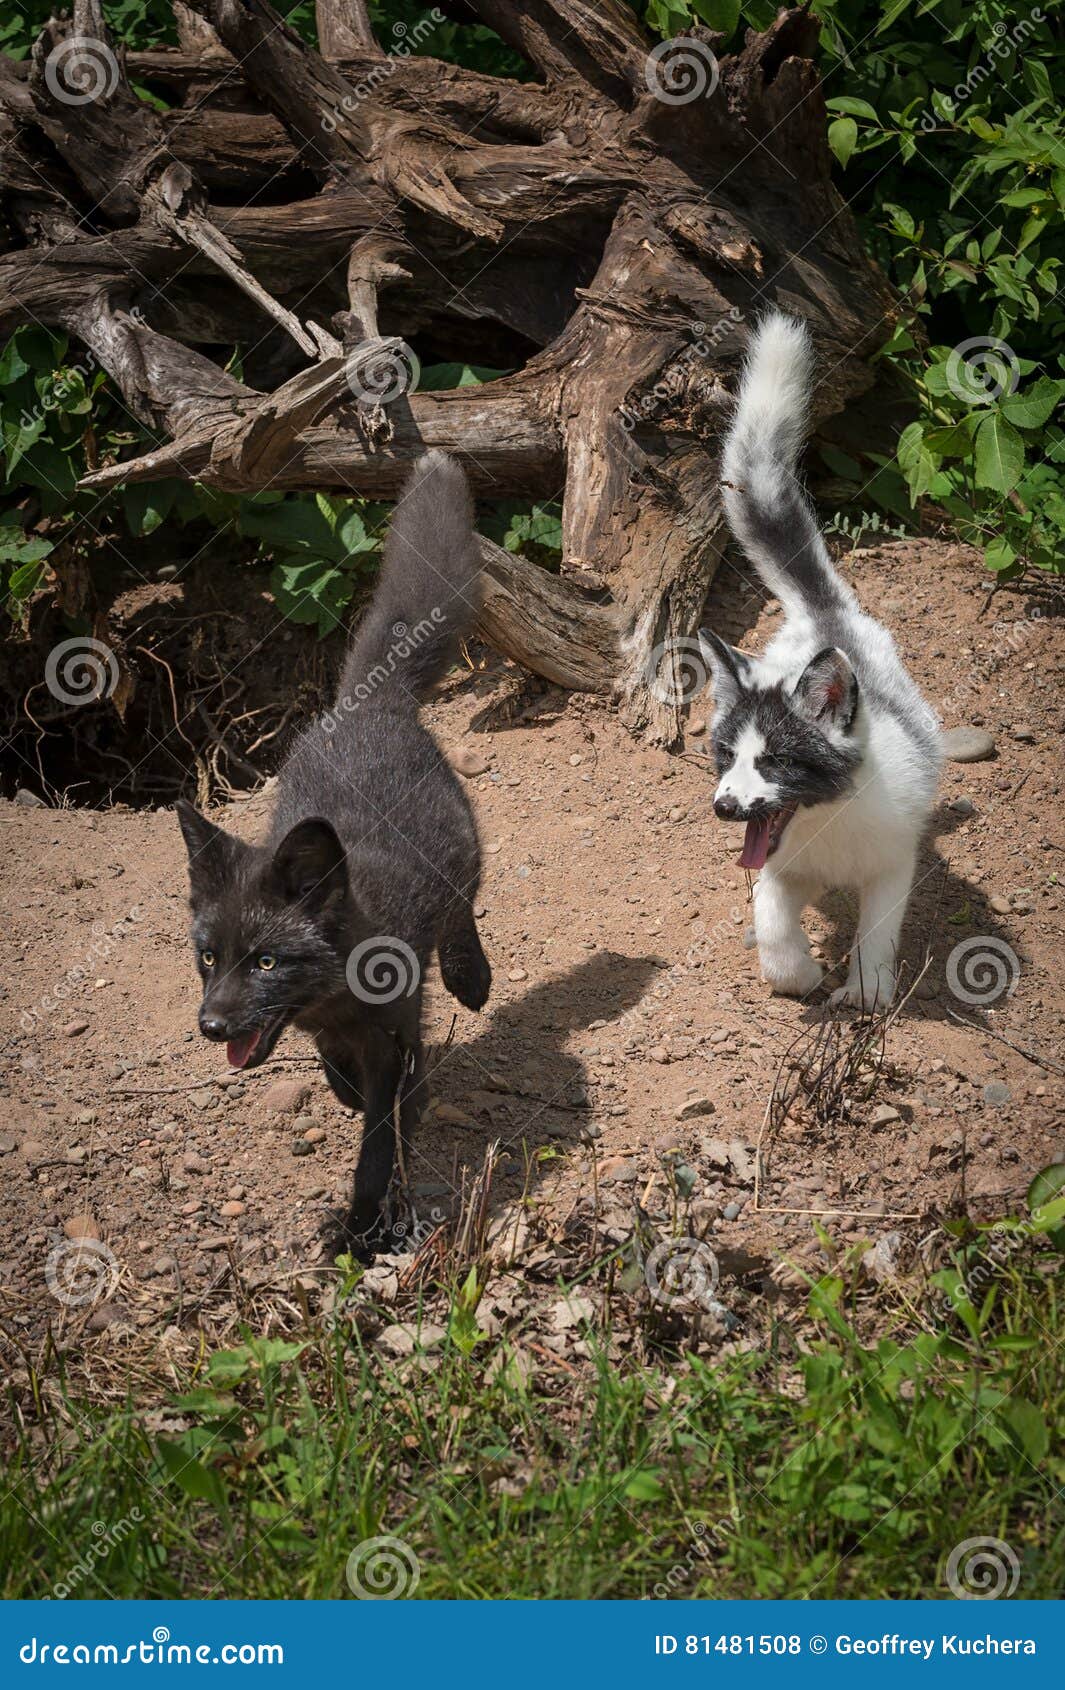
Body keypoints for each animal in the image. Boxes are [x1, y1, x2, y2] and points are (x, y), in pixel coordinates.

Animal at [176, 451, 491, 1255]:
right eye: (208, 958)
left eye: (266, 961)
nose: (211, 1028)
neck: (342, 995)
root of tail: (365, 704)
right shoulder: (326, 1035)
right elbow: (339, 1081)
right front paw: (344, 1096)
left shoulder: (392, 1037)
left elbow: (380, 1139)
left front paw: (365, 1225)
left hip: (461, 855)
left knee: (462, 910)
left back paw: (470, 977)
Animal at [699, 312, 942, 1009]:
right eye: (726, 757)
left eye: (778, 762)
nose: (725, 806)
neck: (827, 824)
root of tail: (823, 611)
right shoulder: (780, 867)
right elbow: (770, 919)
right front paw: (798, 976)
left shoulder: (893, 861)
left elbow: (878, 932)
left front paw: (865, 994)